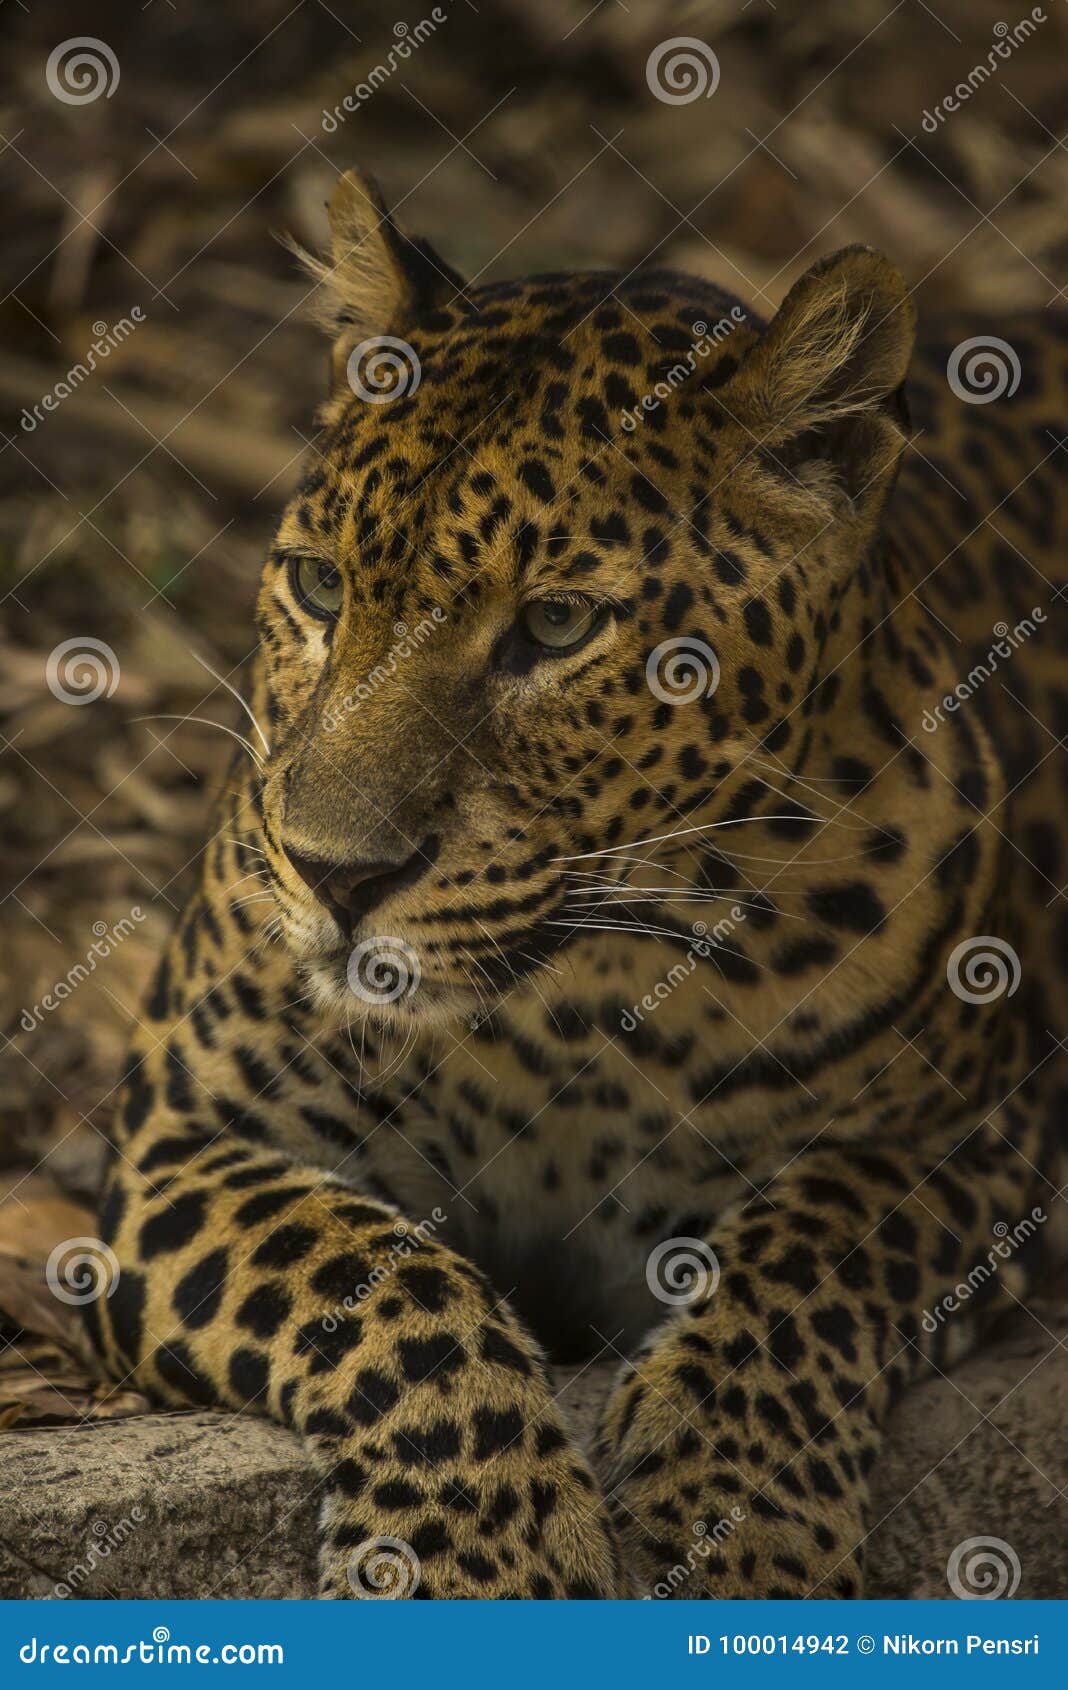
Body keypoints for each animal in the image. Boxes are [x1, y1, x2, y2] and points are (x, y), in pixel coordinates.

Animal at [84, 167, 1068, 1601]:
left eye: (555, 626)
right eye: (321, 584)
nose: (332, 872)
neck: (581, 999)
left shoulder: (976, 1139)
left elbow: (809, 1249)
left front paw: (742, 1527)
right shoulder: (186, 1137)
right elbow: (377, 1275)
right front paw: (474, 1559)